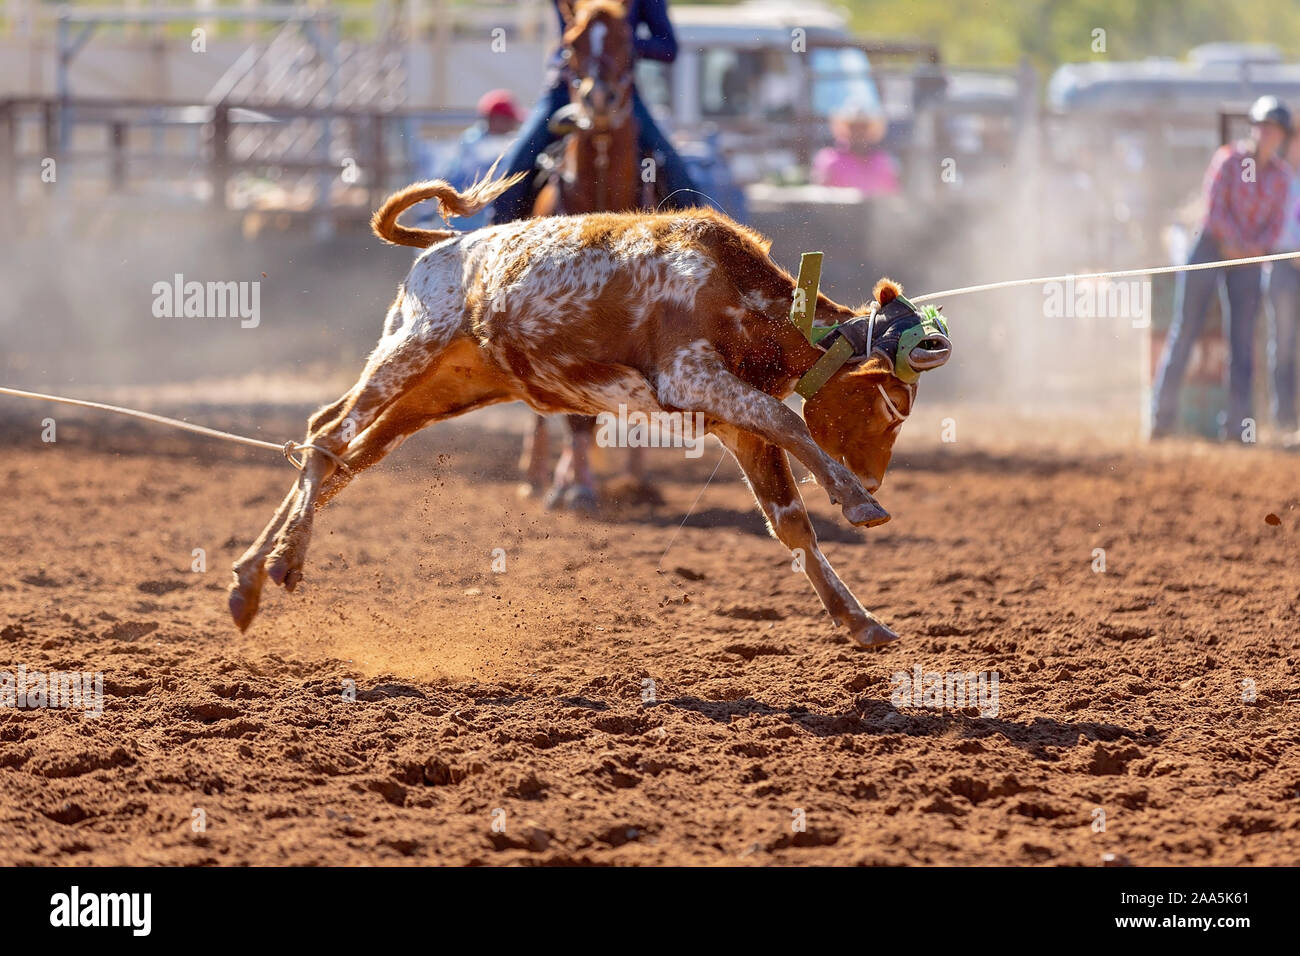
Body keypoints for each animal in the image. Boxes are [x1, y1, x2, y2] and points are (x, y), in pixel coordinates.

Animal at [228, 172, 951, 650]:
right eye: (893, 401)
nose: (877, 473)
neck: (740, 296)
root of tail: (439, 251)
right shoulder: (693, 379)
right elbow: (791, 423)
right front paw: (858, 500)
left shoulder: (730, 421)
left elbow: (791, 522)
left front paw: (862, 621)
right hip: (410, 348)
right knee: (328, 436)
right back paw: (278, 564)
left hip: (438, 391)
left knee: (345, 456)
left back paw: (252, 577)